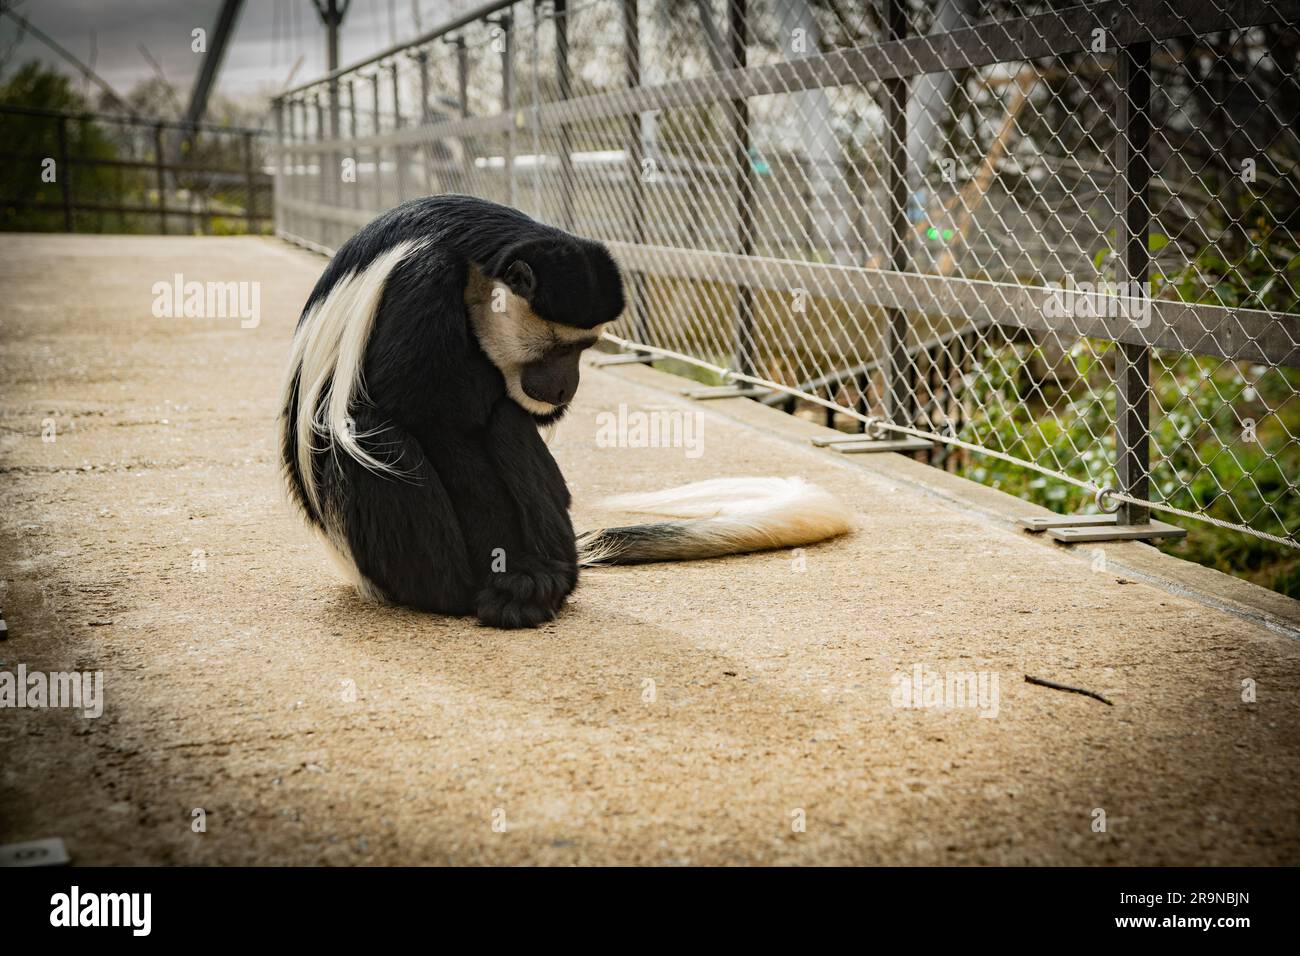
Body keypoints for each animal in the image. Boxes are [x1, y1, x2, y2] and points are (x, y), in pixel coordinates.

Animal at [279, 195, 851, 628]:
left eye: (586, 347)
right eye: (560, 348)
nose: (565, 386)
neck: (470, 262)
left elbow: (500, 419)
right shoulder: (419, 284)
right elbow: (425, 411)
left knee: (505, 424)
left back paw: (544, 580)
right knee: (375, 436)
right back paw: (466, 593)